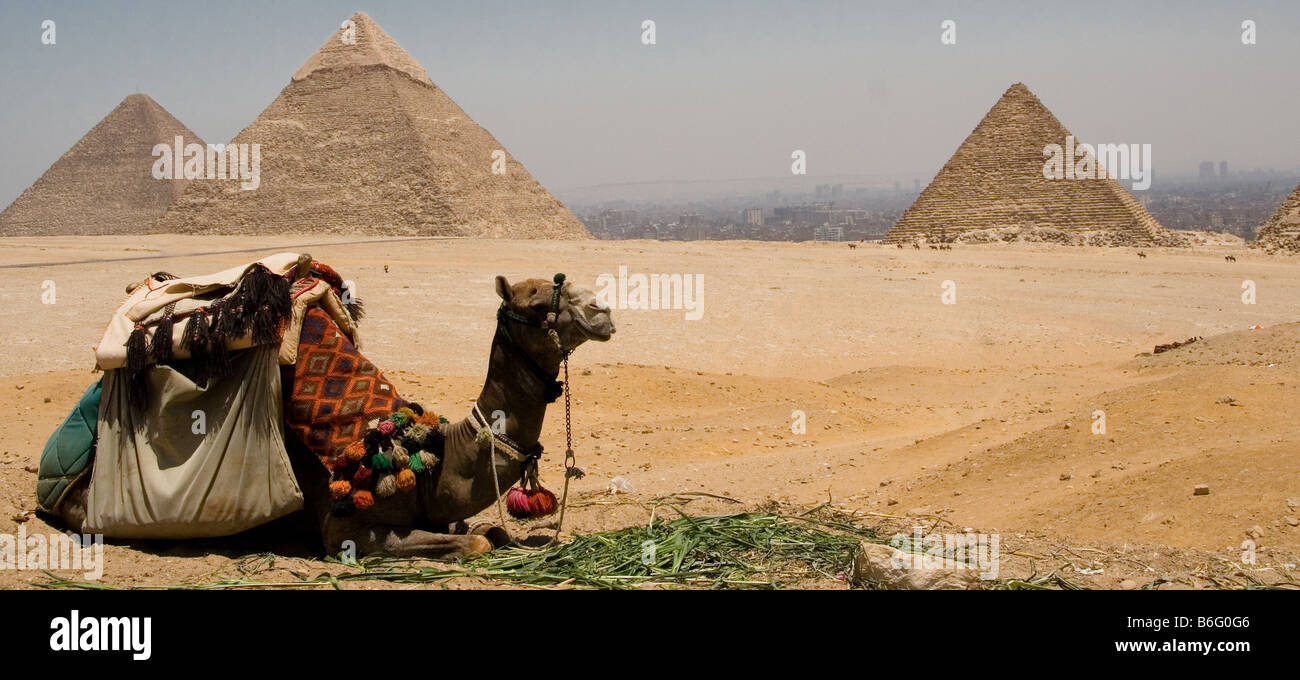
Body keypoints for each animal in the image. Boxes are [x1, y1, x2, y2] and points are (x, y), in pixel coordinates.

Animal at [55, 274, 615, 559]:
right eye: (539, 300)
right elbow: (477, 541)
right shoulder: (346, 526)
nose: (603, 311)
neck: (430, 457)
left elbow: (488, 532)